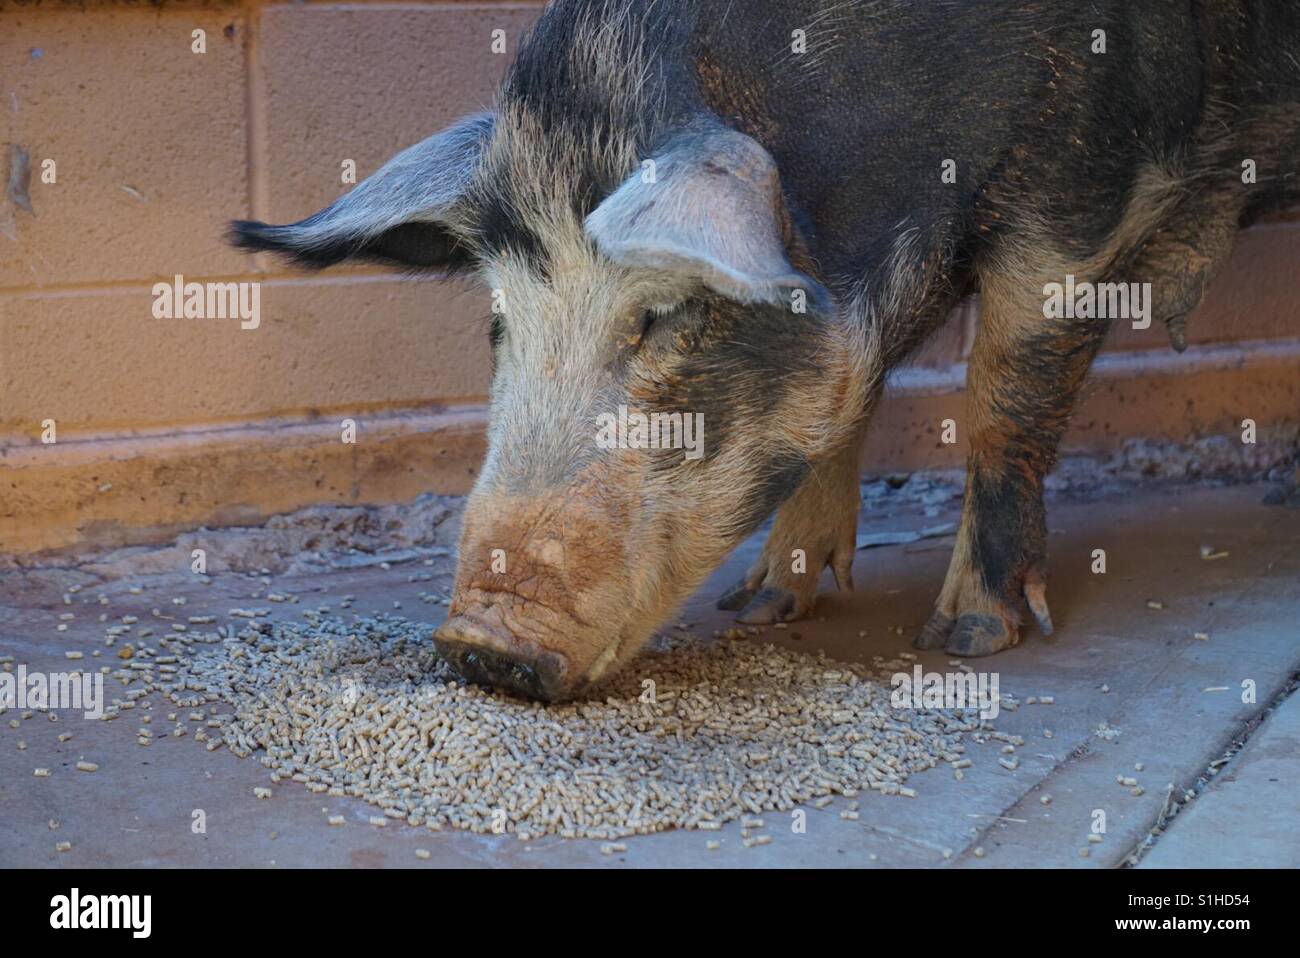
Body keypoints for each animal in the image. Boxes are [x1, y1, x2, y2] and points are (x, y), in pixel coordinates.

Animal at [231, 0, 1300, 699]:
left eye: (665, 316)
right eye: (499, 323)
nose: (477, 638)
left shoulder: (1080, 194)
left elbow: (1005, 393)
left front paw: (965, 640)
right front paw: (765, 608)